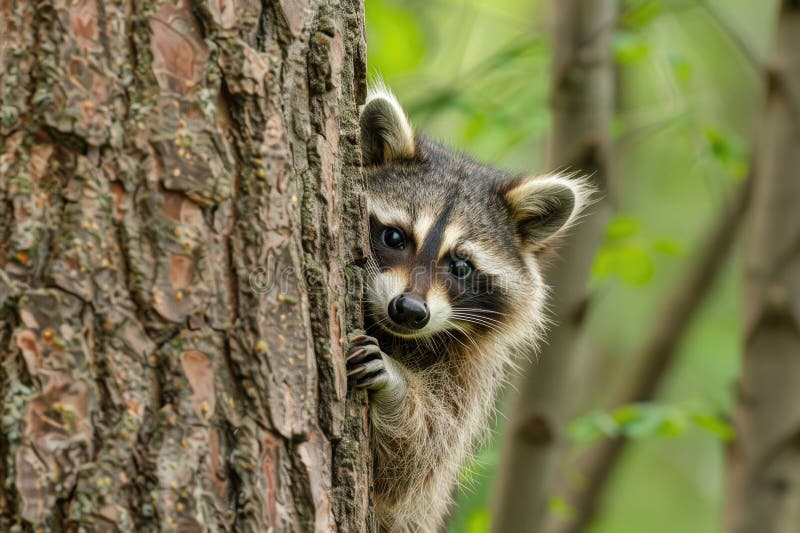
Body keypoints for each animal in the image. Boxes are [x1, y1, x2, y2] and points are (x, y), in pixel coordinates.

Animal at [347, 86, 591, 532]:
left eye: (461, 267)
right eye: (394, 237)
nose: (409, 310)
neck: (396, 334)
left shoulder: (471, 373)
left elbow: (417, 461)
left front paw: (394, 384)